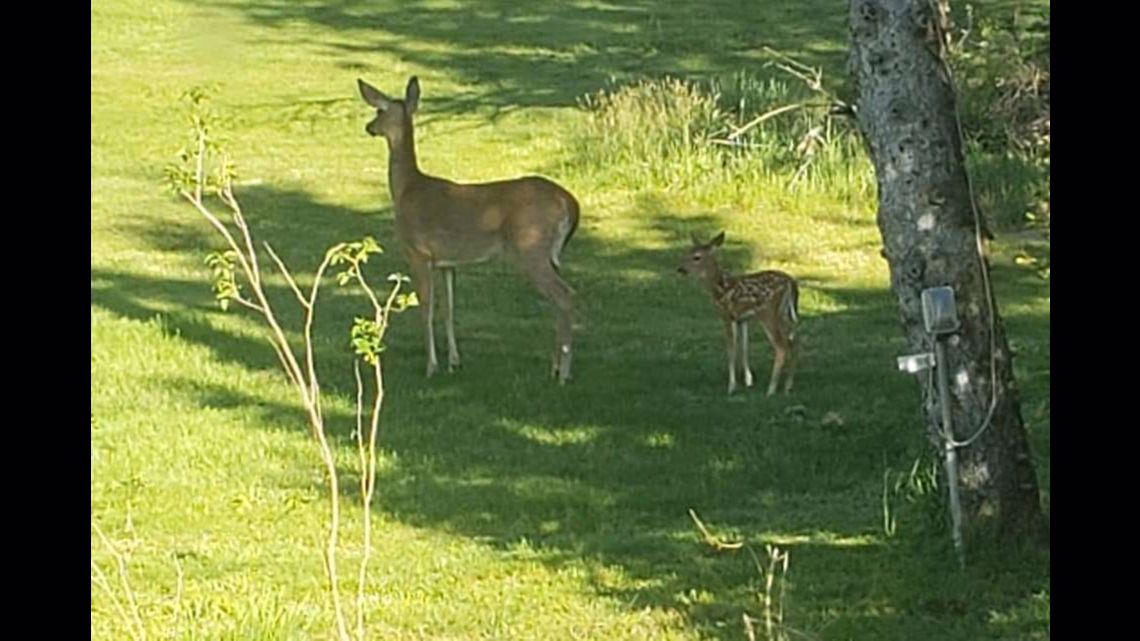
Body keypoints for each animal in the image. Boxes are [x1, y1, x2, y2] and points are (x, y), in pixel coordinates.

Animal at [357, 76, 581, 384]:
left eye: (379, 110)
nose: (369, 127)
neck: (407, 189)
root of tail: (568, 202)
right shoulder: (447, 262)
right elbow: (449, 309)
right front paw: (454, 361)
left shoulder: (418, 252)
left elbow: (425, 309)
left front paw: (431, 367)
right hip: (547, 254)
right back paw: (556, 366)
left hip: (530, 246)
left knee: (565, 296)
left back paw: (563, 373)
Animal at [677, 231, 800, 396]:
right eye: (687, 252)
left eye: (696, 257)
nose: (680, 269)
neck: (720, 290)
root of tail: (790, 283)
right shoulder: (742, 319)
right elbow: (744, 346)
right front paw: (748, 381)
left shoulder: (727, 316)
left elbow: (731, 348)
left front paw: (731, 386)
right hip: (785, 315)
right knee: (794, 342)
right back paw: (788, 386)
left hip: (768, 314)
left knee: (781, 346)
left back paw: (771, 389)